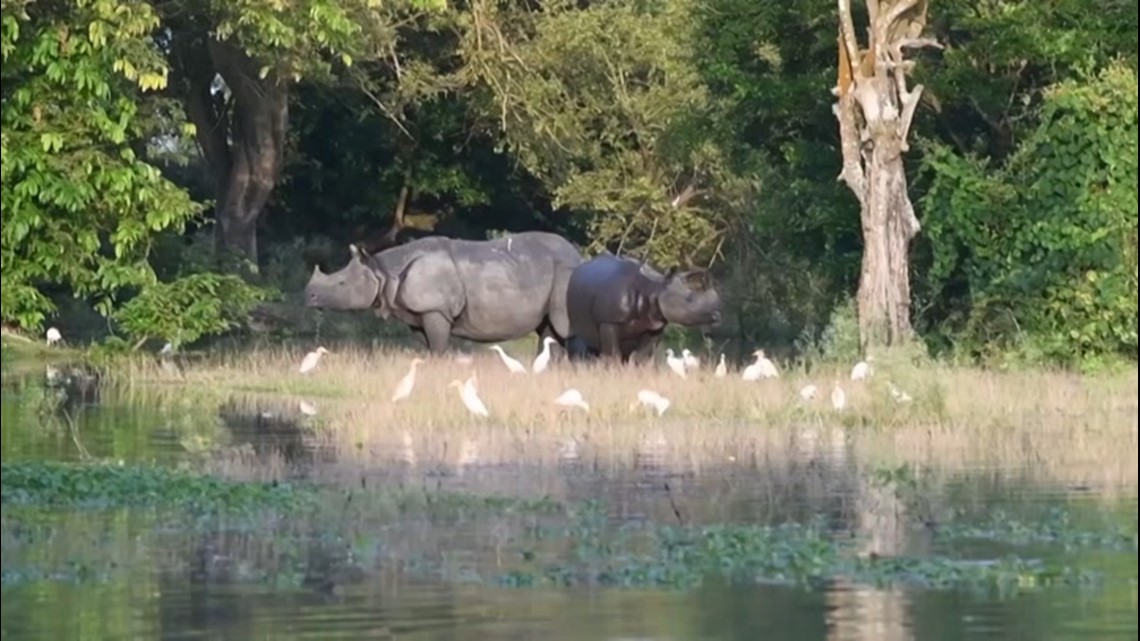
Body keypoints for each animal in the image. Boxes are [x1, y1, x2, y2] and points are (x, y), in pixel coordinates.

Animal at [304, 232, 584, 355]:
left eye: (341, 284)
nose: (309, 297)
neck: (383, 270)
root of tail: (577, 254)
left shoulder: (434, 308)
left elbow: (438, 346)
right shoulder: (417, 314)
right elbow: (429, 347)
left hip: (566, 272)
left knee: (565, 326)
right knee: (550, 330)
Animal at [565, 252, 722, 364]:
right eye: (689, 299)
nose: (716, 315)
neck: (656, 288)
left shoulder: (655, 324)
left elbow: (641, 356)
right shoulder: (609, 320)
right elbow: (613, 354)